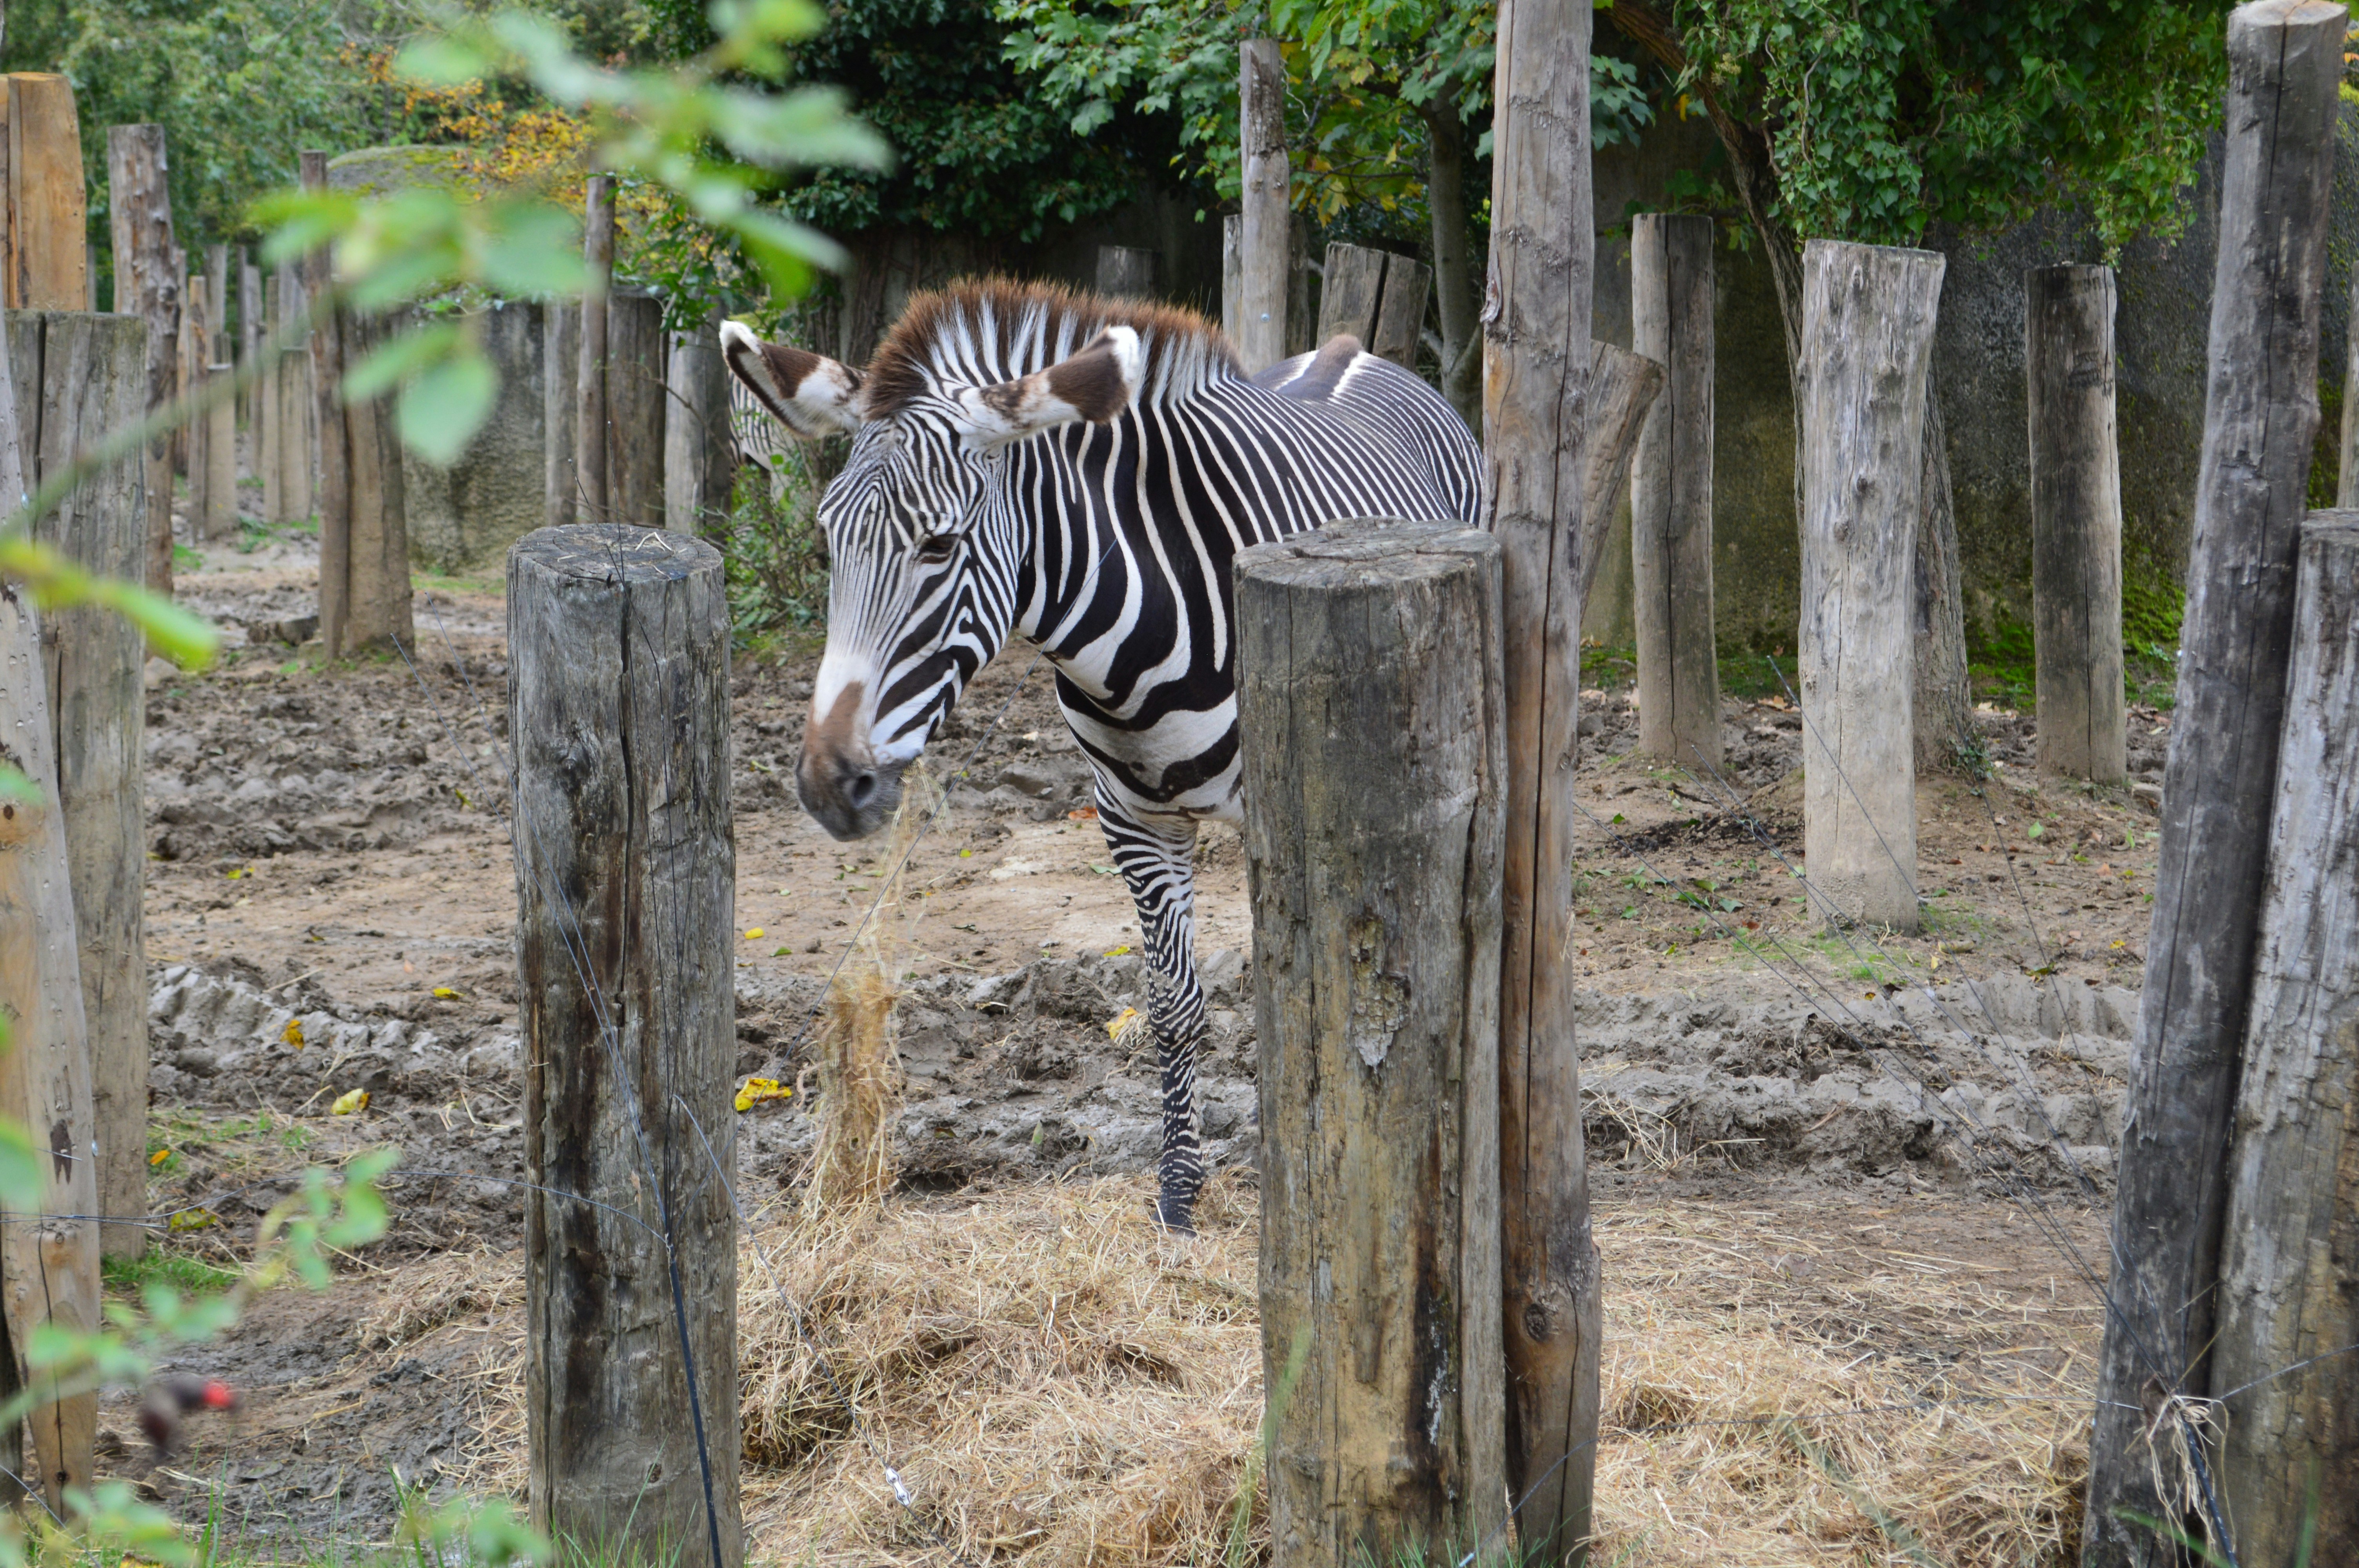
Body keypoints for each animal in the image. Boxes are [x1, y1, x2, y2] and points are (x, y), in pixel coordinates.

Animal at [722, 278, 1483, 1232]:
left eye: (939, 544)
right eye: (829, 539)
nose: (830, 784)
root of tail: (1352, 350)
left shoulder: (1291, 815)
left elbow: (1300, 990)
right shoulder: (1132, 822)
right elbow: (1172, 1005)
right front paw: (1179, 1194)